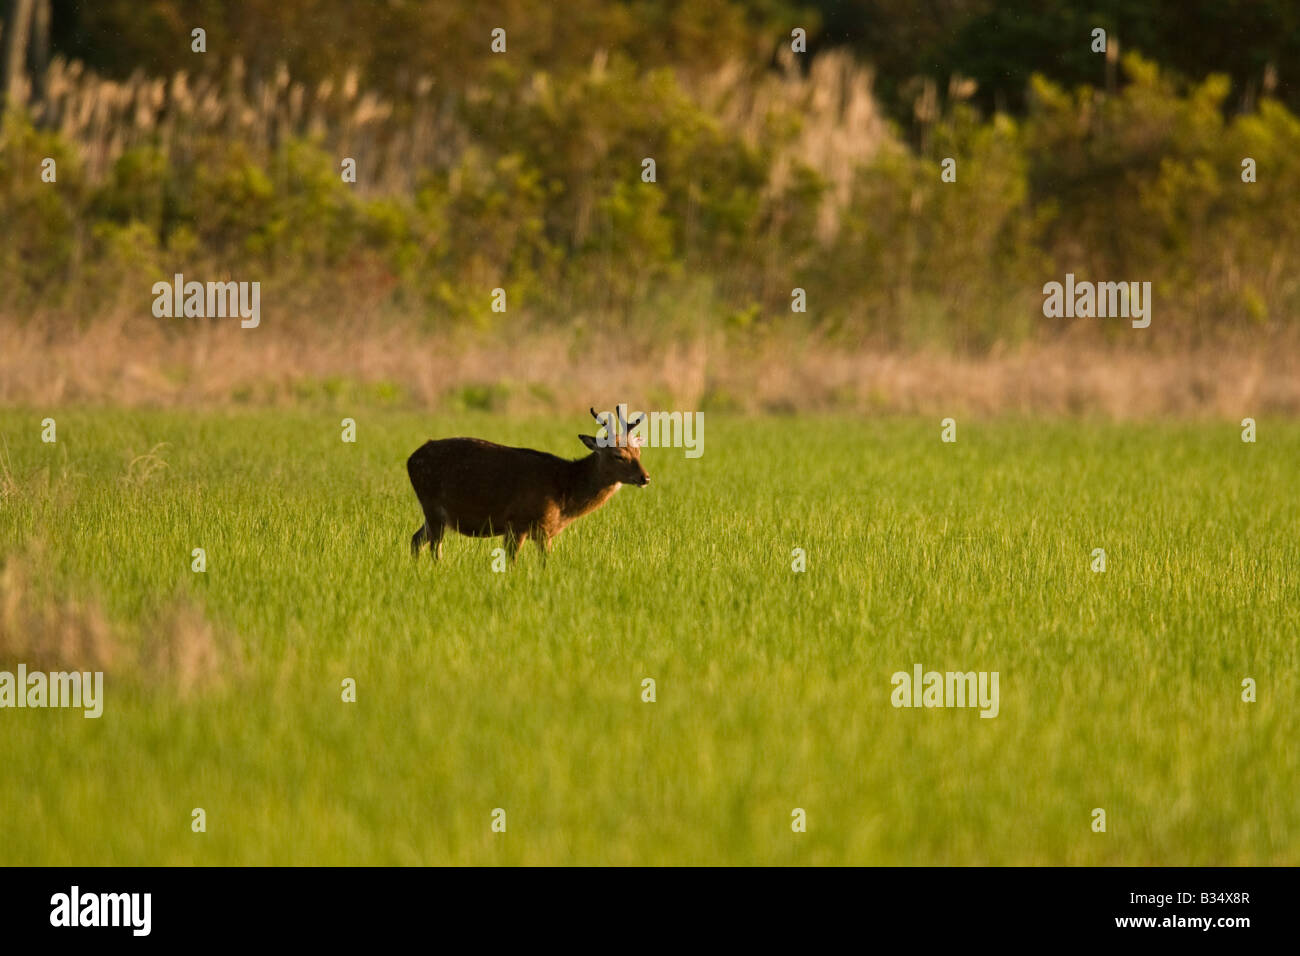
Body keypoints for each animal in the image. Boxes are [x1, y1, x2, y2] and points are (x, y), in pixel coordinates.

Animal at [407, 406, 649, 564]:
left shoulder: (545, 531)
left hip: (434, 514)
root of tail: (411, 459)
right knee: (434, 547)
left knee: (415, 539)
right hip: (433, 506)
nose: (645, 477)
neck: (564, 491)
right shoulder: (517, 522)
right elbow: (512, 561)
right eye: (618, 455)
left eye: (638, 452)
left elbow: (545, 564)